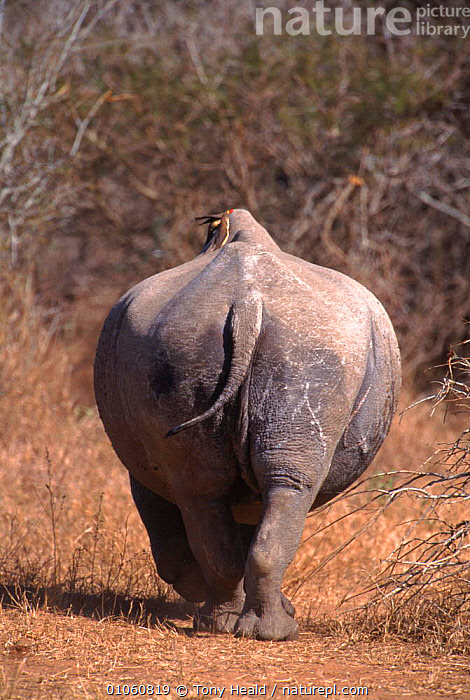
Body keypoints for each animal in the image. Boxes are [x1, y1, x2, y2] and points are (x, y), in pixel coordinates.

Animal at [94, 208, 401, 641]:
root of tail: (247, 303)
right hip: (303, 347)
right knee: (270, 486)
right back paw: (263, 629)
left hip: (218, 343)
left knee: (215, 489)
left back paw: (230, 625)